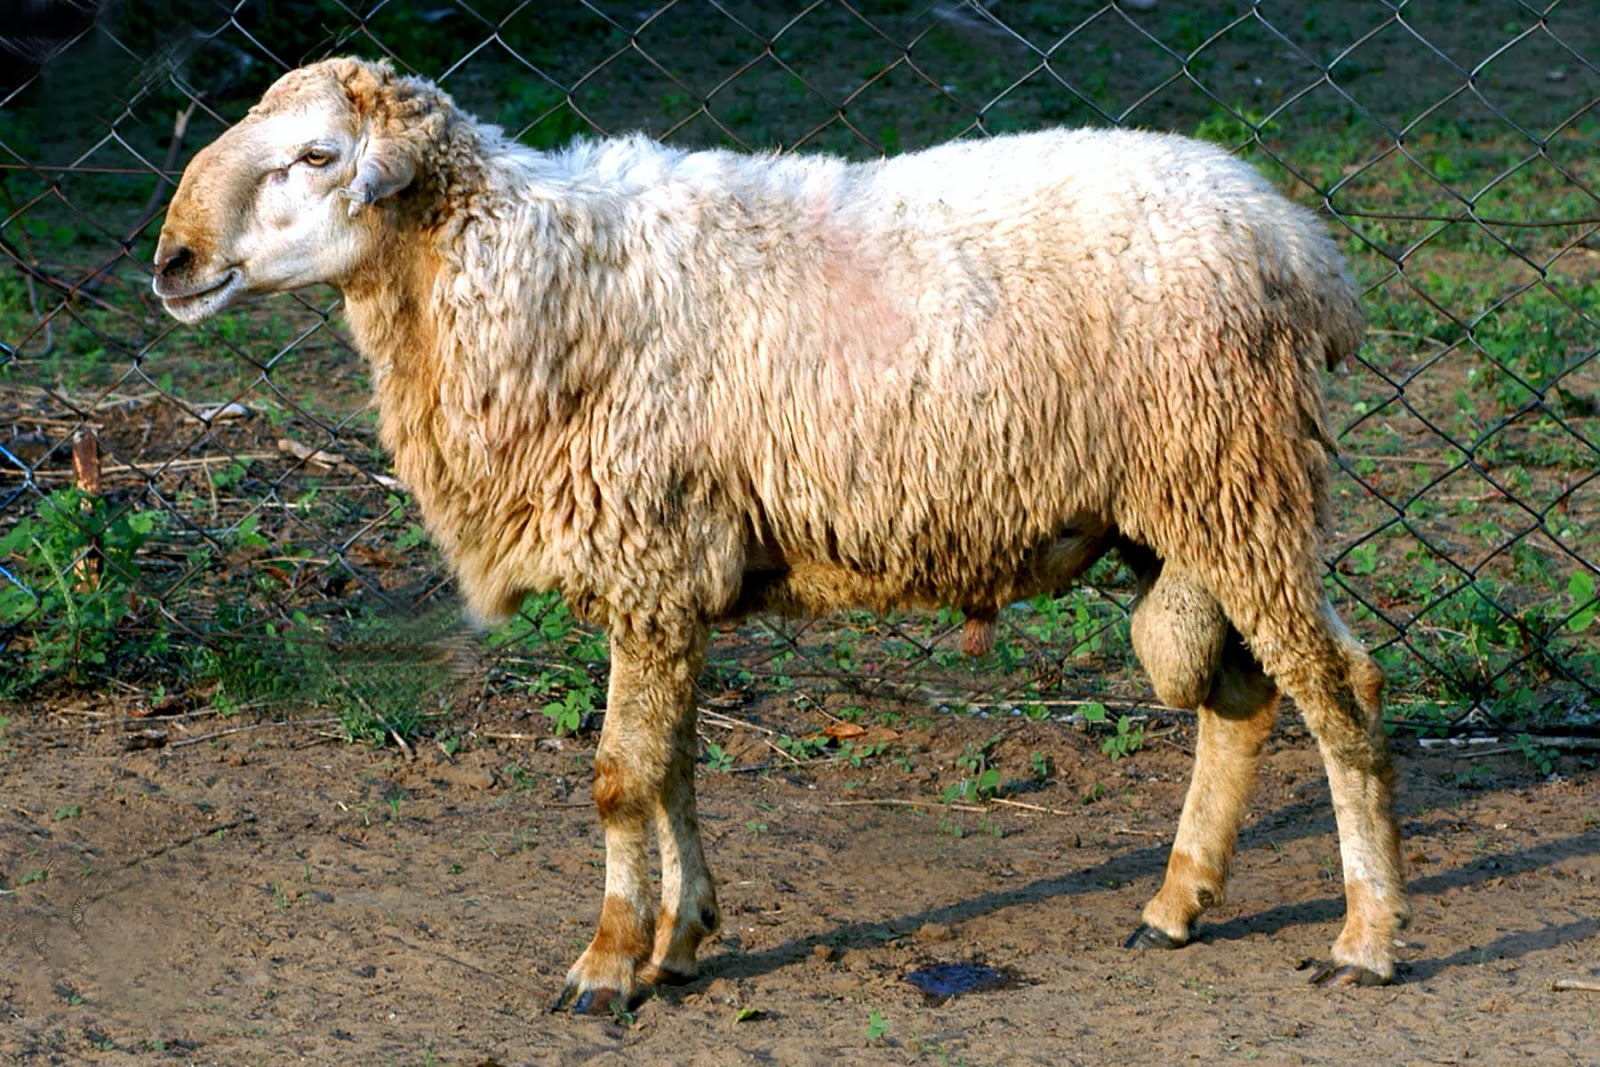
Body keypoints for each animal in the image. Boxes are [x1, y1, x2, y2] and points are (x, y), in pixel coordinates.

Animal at [152, 57, 1408, 1012]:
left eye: (319, 156)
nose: (170, 263)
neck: (519, 268)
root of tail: (1299, 239)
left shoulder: (650, 556)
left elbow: (619, 777)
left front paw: (608, 964)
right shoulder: (667, 577)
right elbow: (671, 767)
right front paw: (681, 938)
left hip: (1236, 475)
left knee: (1336, 684)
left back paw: (1367, 935)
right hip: (1183, 507)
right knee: (1240, 697)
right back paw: (1176, 904)